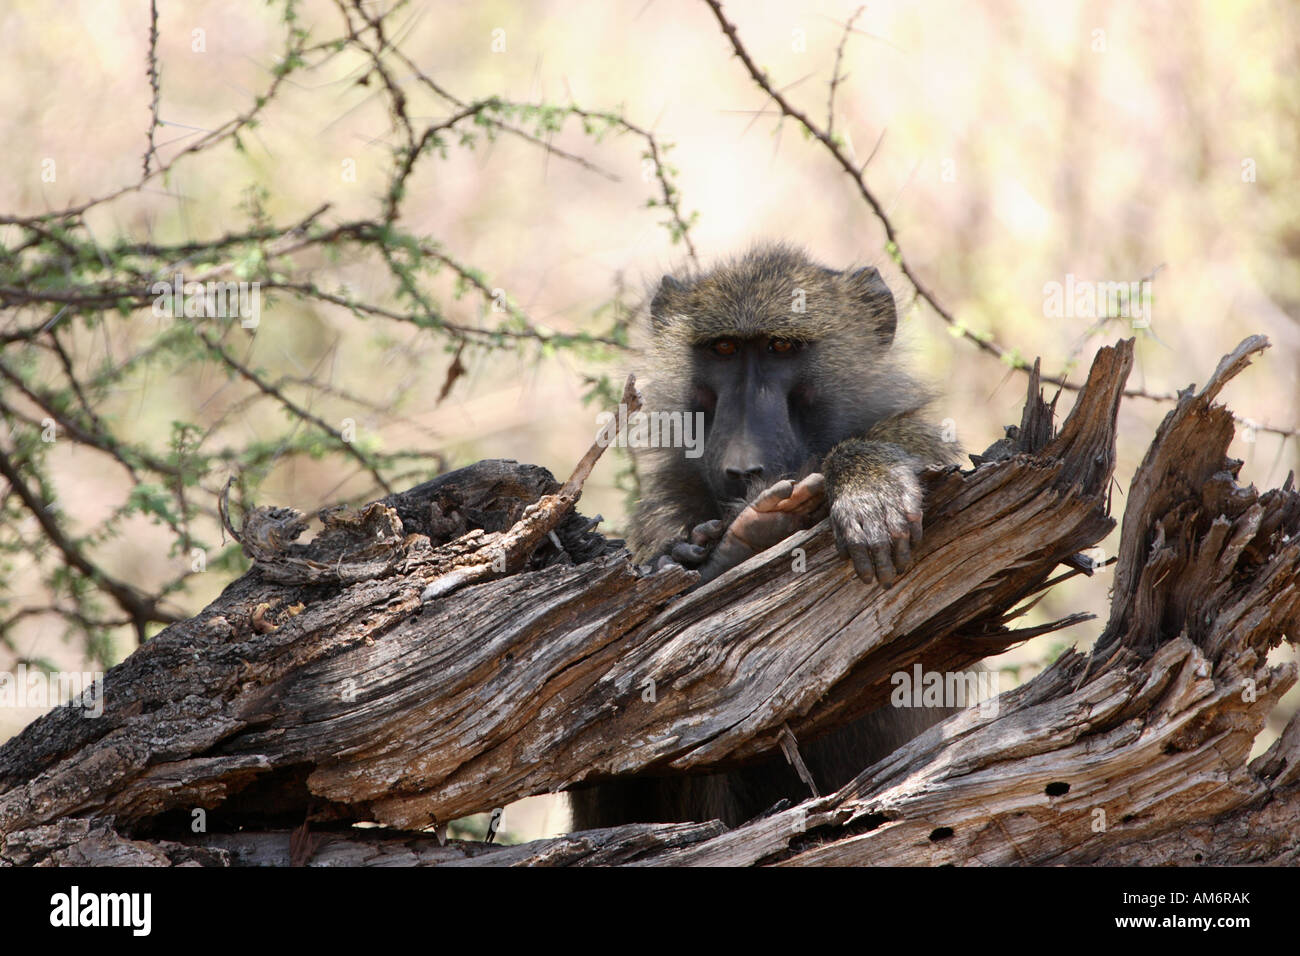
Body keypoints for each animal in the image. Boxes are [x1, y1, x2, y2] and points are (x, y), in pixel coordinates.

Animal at [568, 242, 964, 831]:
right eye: (724, 349)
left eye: (780, 347)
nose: (742, 468)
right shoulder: (663, 508)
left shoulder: (925, 447)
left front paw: (866, 482)